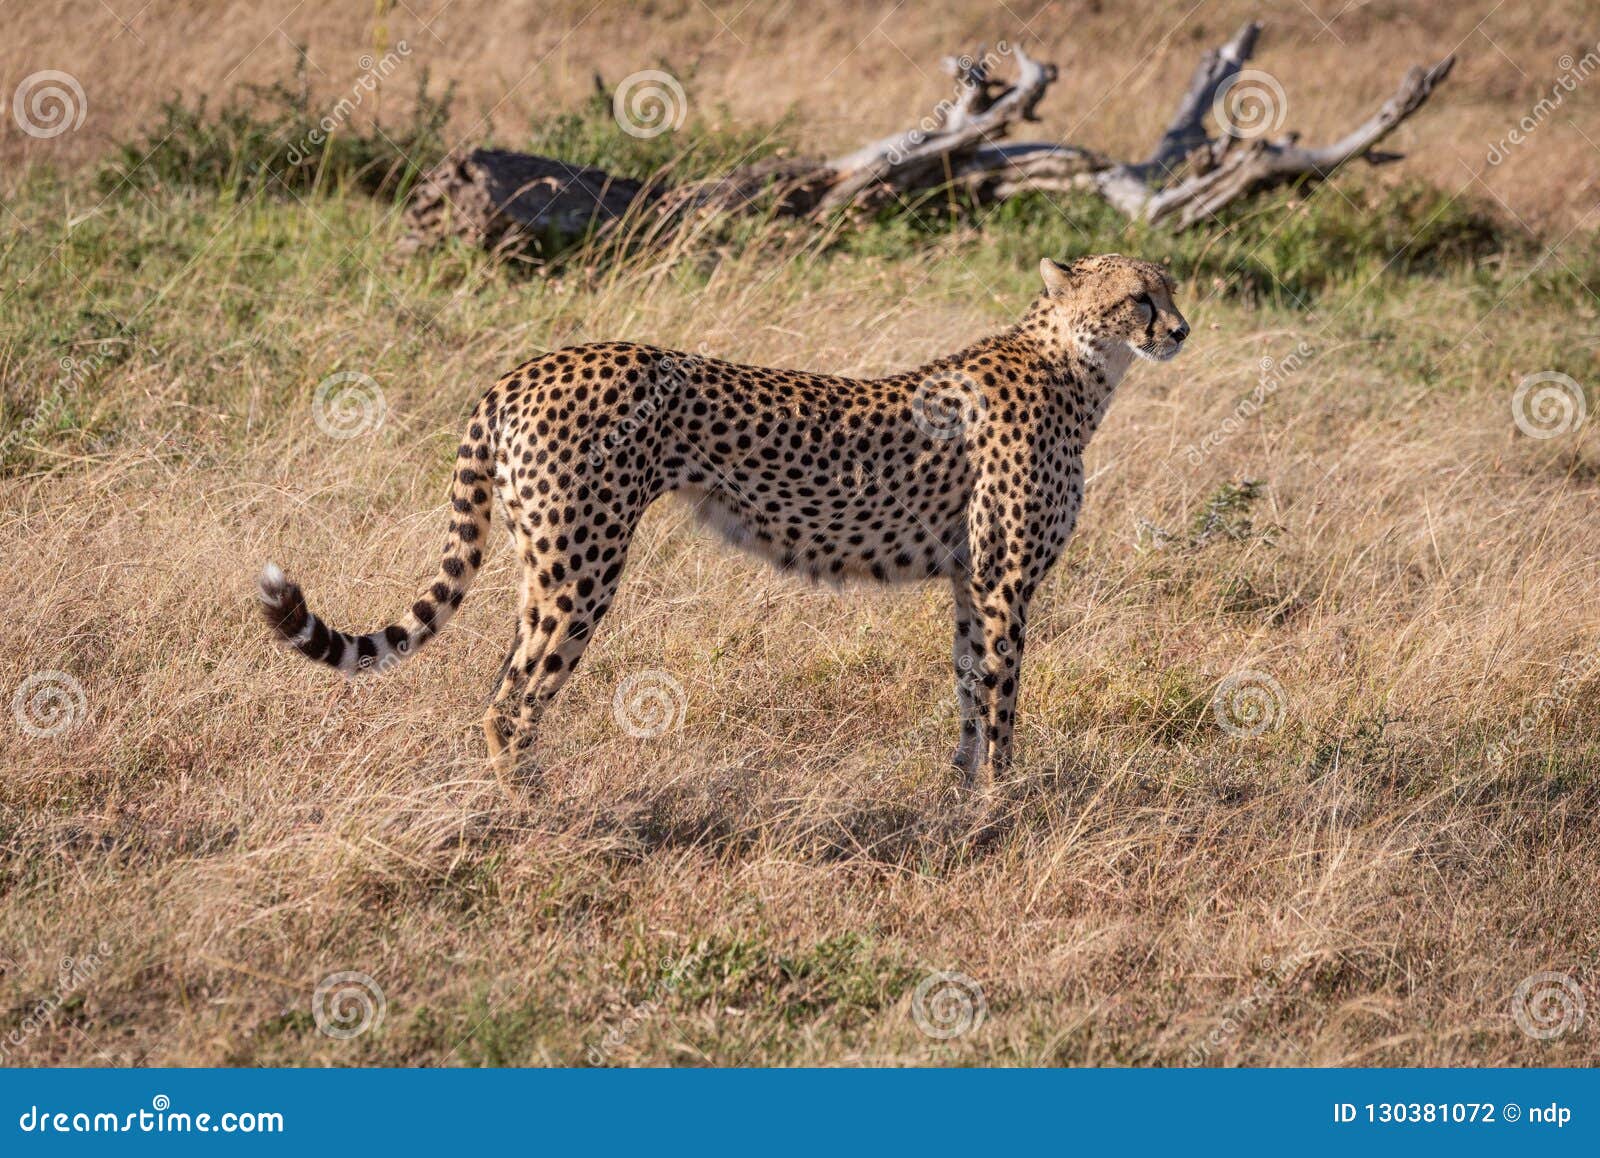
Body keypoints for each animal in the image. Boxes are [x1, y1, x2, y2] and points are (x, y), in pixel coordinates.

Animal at [258, 253, 1189, 795]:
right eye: (1138, 298)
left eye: (1171, 290)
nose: (1181, 330)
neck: (1078, 365)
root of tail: (524, 369)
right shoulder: (1004, 582)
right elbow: (1002, 696)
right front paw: (1003, 802)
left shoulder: (971, 580)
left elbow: (968, 688)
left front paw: (962, 796)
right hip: (583, 567)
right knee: (514, 700)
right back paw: (533, 815)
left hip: (542, 564)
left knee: (498, 684)